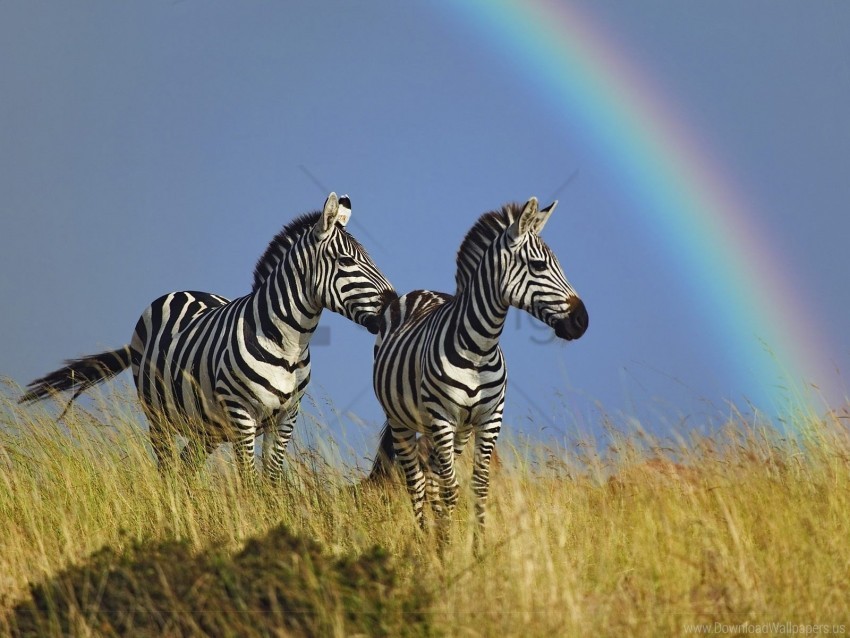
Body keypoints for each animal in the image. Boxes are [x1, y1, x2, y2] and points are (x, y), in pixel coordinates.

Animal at [20, 193, 396, 481]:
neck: (289, 342)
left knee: (187, 468)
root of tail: (183, 291)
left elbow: (272, 482)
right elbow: (249, 483)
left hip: (207, 426)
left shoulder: (285, 418)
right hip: (157, 415)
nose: (393, 302)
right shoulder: (243, 415)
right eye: (346, 260)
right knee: (167, 469)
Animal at [369, 197, 588, 548]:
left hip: (455, 431)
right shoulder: (442, 417)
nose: (583, 321)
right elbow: (450, 488)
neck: (479, 348)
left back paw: (437, 535)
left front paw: (477, 548)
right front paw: (447, 550)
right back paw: (426, 541)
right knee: (418, 482)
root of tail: (421, 291)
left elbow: (478, 486)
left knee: (432, 480)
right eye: (539, 266)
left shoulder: (489, 419)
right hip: (403, 421)